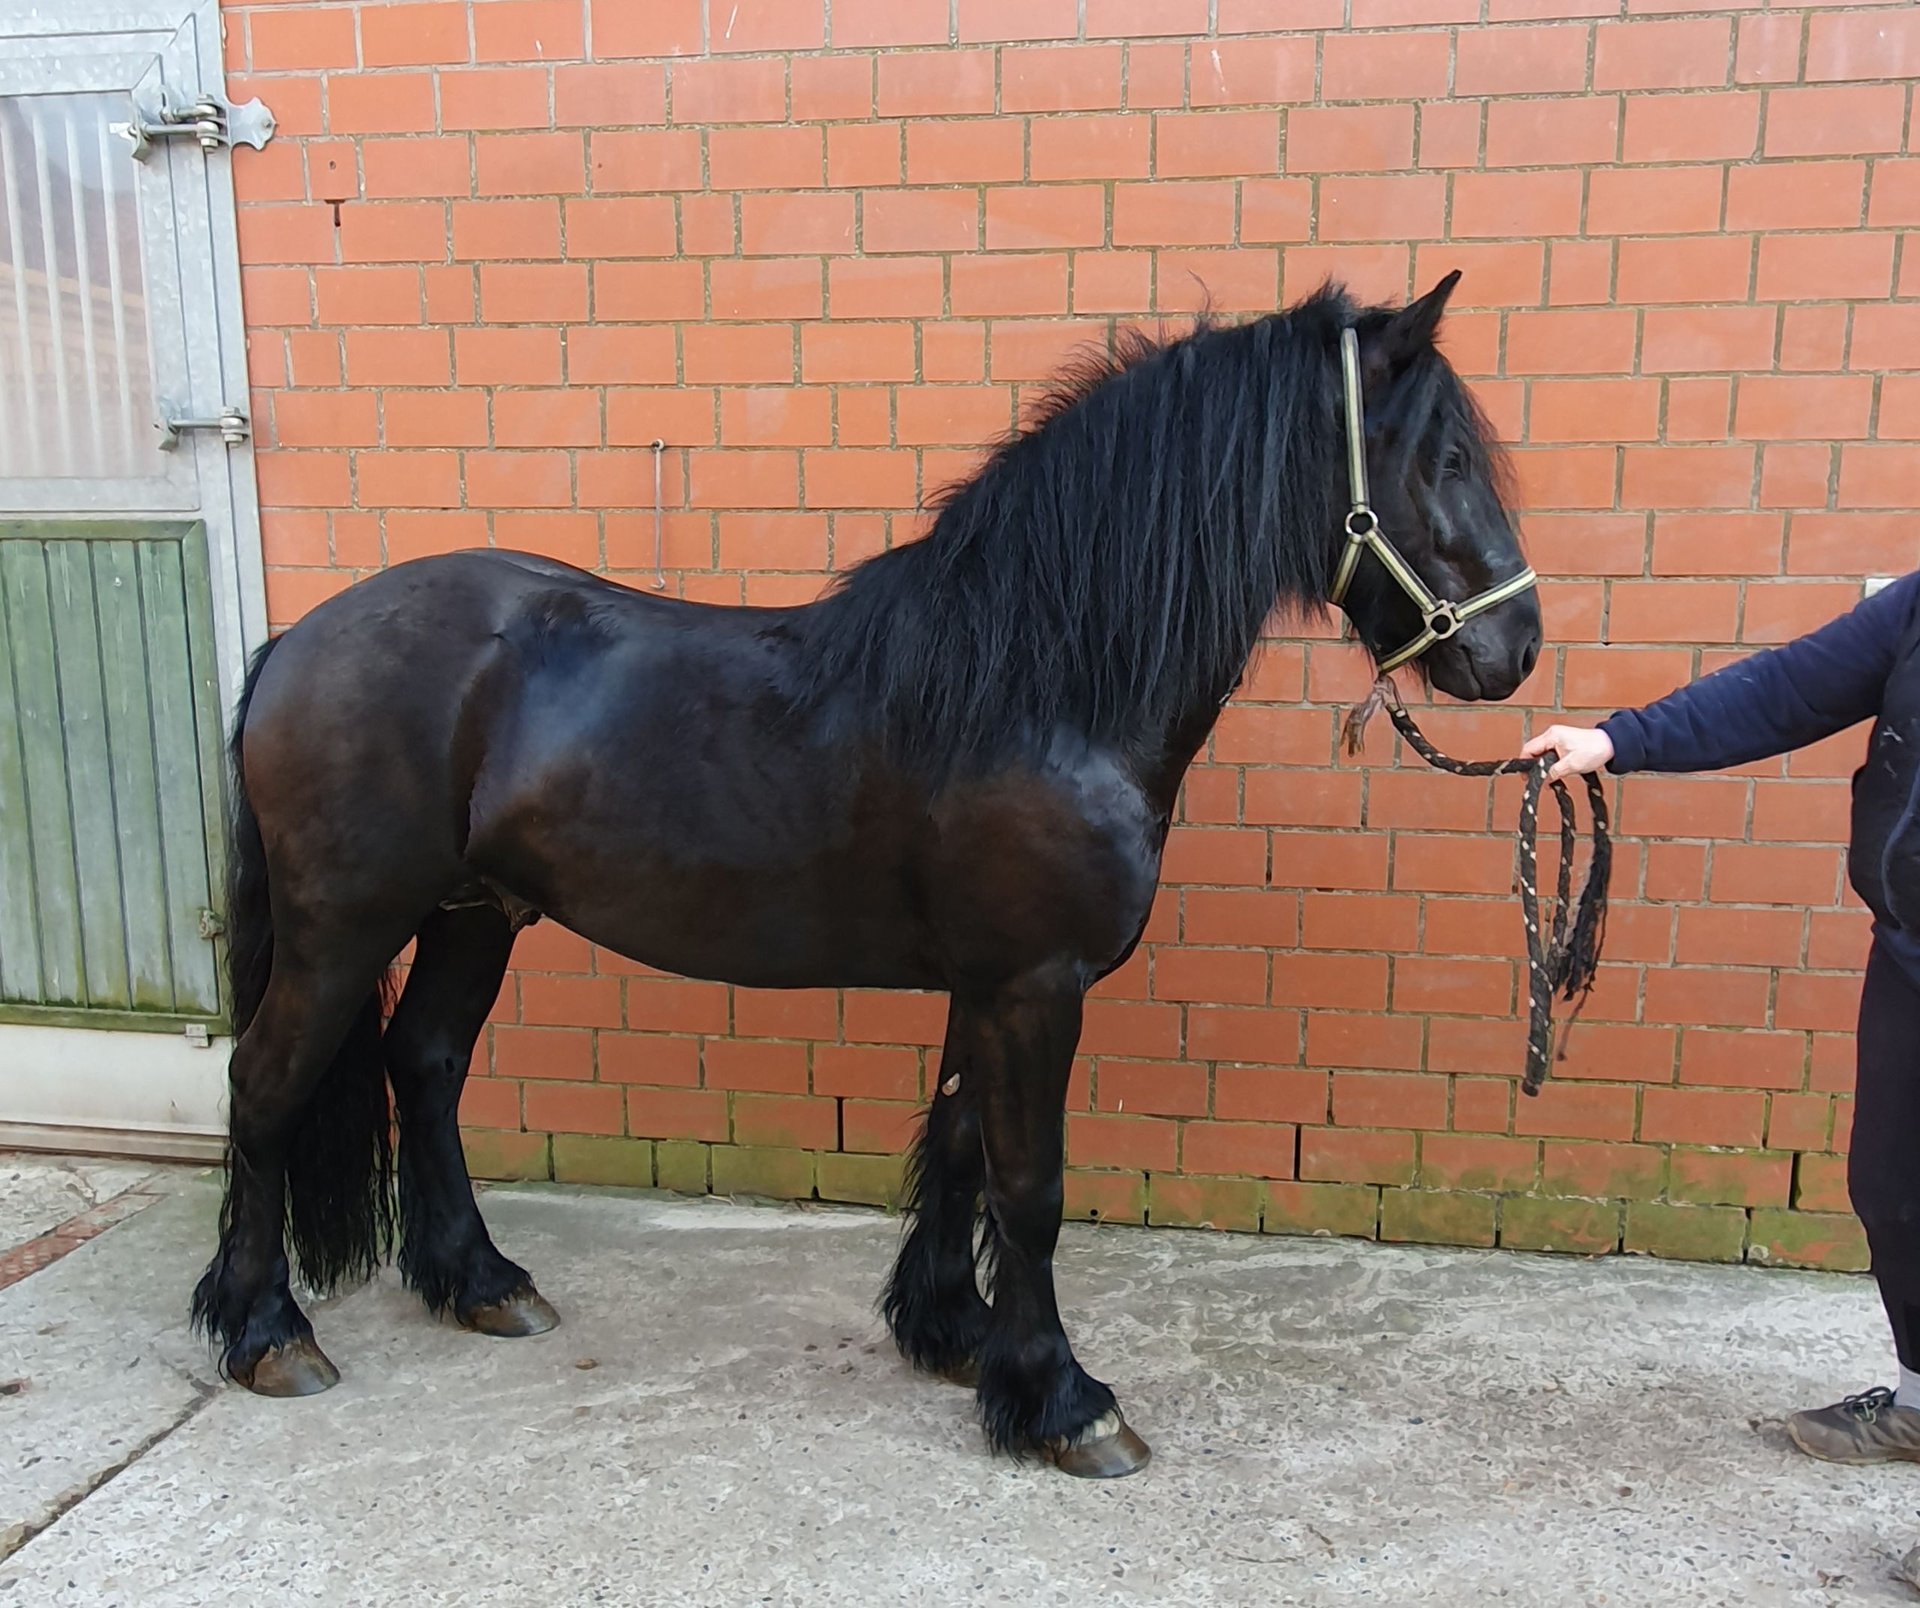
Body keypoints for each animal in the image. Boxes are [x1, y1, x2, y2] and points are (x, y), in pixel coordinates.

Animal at [191, 272, 1541, 1479]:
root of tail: (299, 640)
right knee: (263, 1085)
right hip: (340, 928)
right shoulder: (1035, 985)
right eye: (1446, 460)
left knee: (423, 1065)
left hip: (474, 915)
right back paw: (267, 1334)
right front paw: (1065, 1404)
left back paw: (480, 1283)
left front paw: (956, 1337)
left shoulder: (992, 984)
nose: (1516, 650)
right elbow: (1030, 1185)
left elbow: (960, 1144)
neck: (1037, 686)